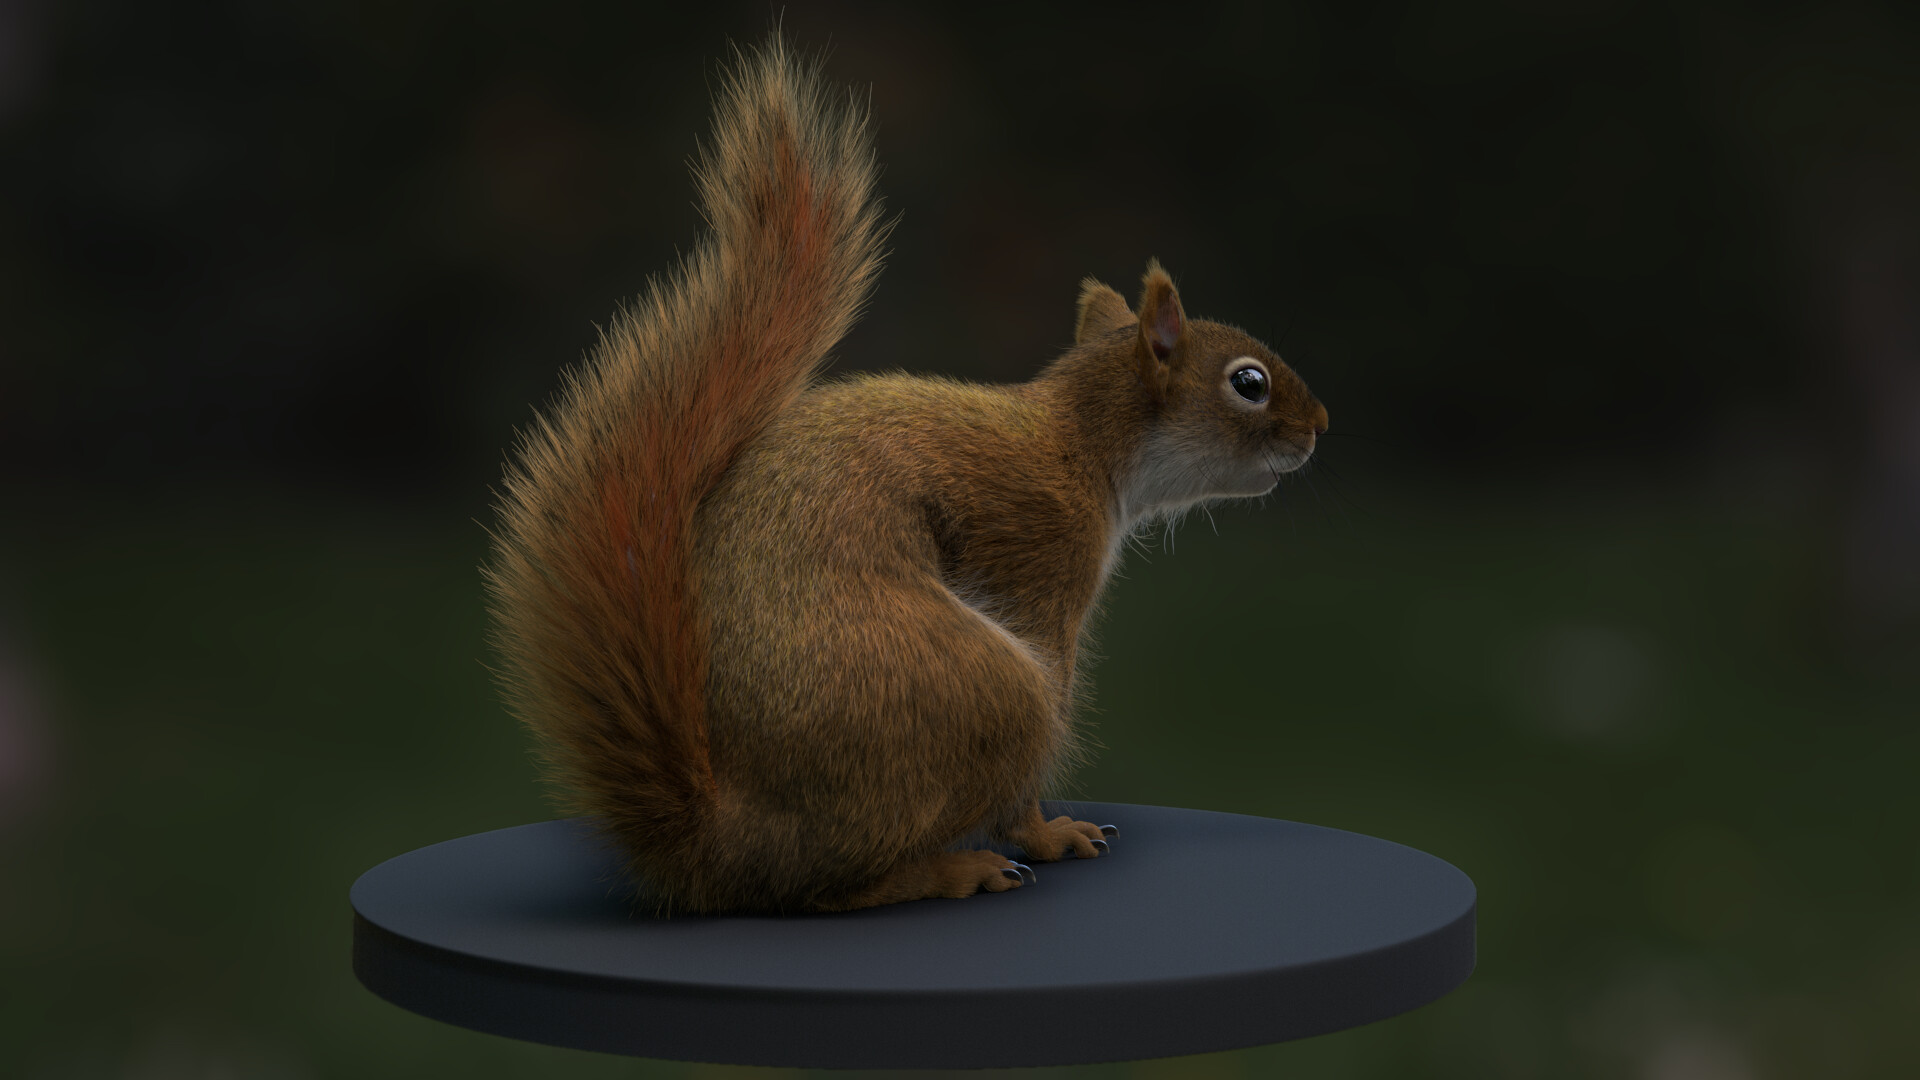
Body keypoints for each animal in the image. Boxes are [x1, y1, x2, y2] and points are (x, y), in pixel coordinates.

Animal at [484, 35, 1328, 915]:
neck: (1086, 444)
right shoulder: (1038, 545)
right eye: (1249, 383)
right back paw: (954, 869)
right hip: (973, 692)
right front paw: (1046, 834)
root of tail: (726, 849)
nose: (1321, 427)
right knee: (835, 887)